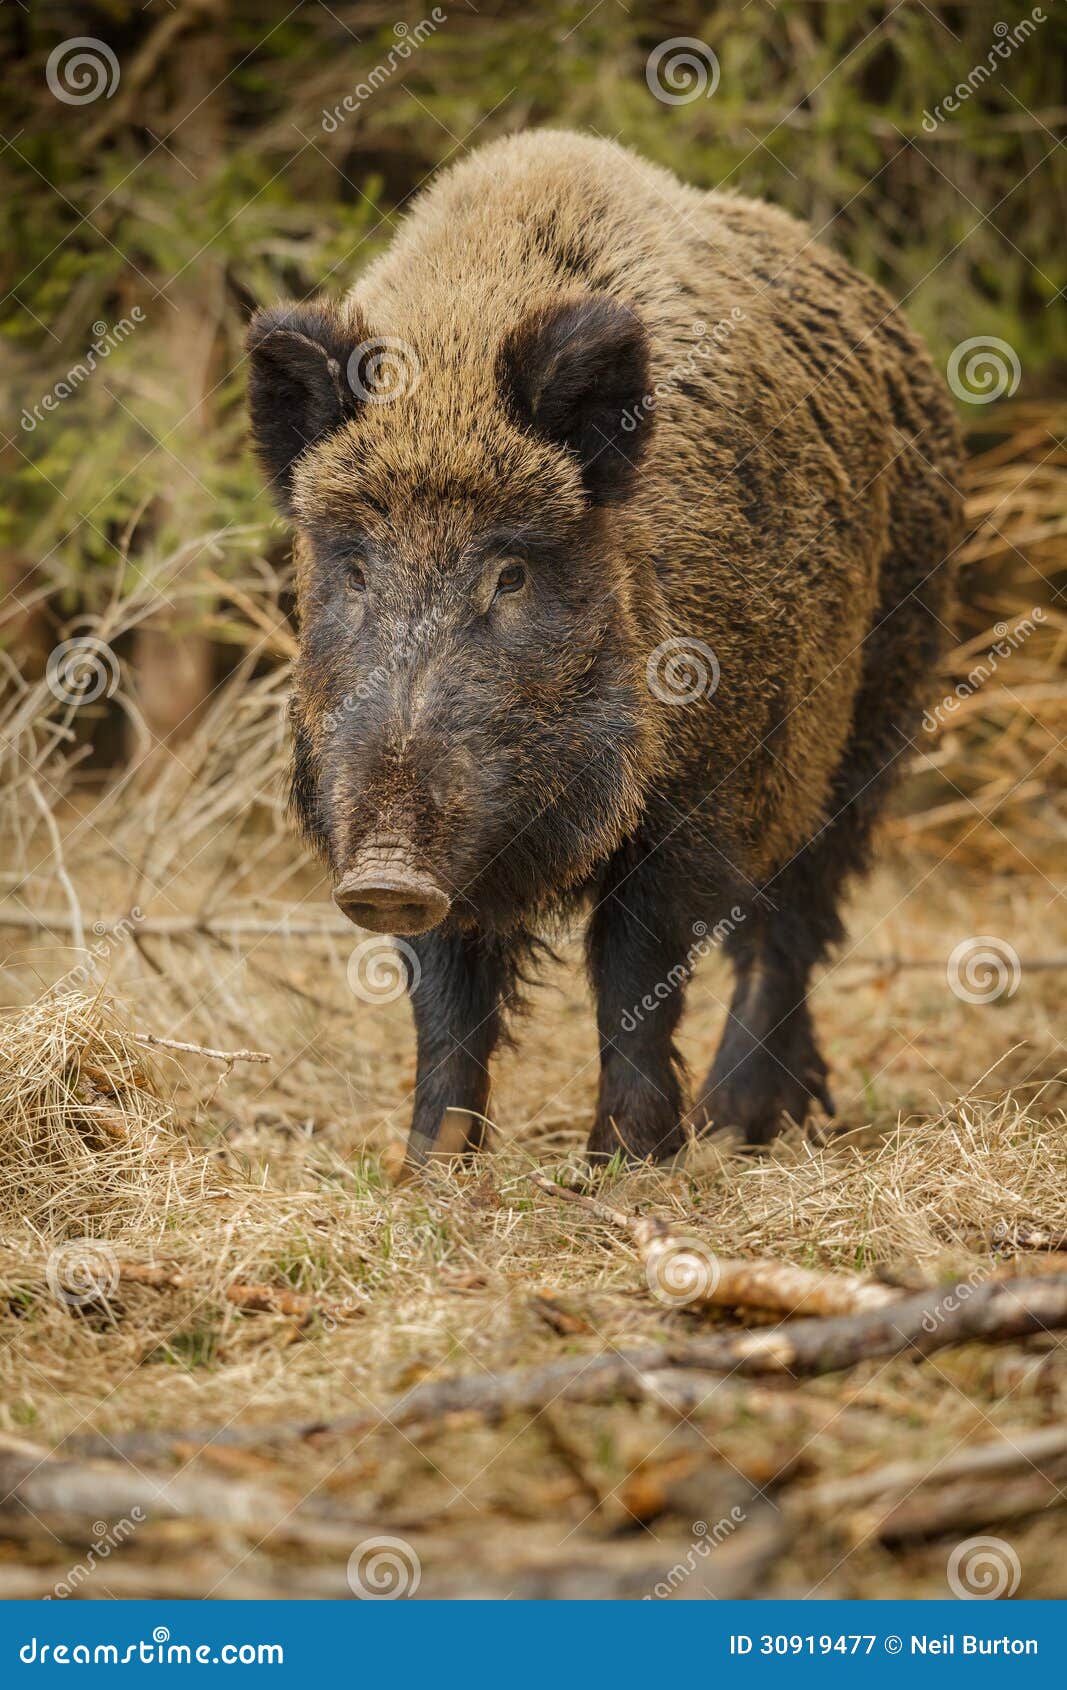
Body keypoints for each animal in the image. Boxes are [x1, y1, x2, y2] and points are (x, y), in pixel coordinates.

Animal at [246, 129, 962, 1168]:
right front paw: (430, 1167)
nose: (385, 872)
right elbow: (445, 994)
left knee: (793, 918)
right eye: (354, 568)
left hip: (873, 712)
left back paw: (736, 1127)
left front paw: (623, 1165)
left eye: (510, 573)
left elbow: (635, 974)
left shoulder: (698, 791)